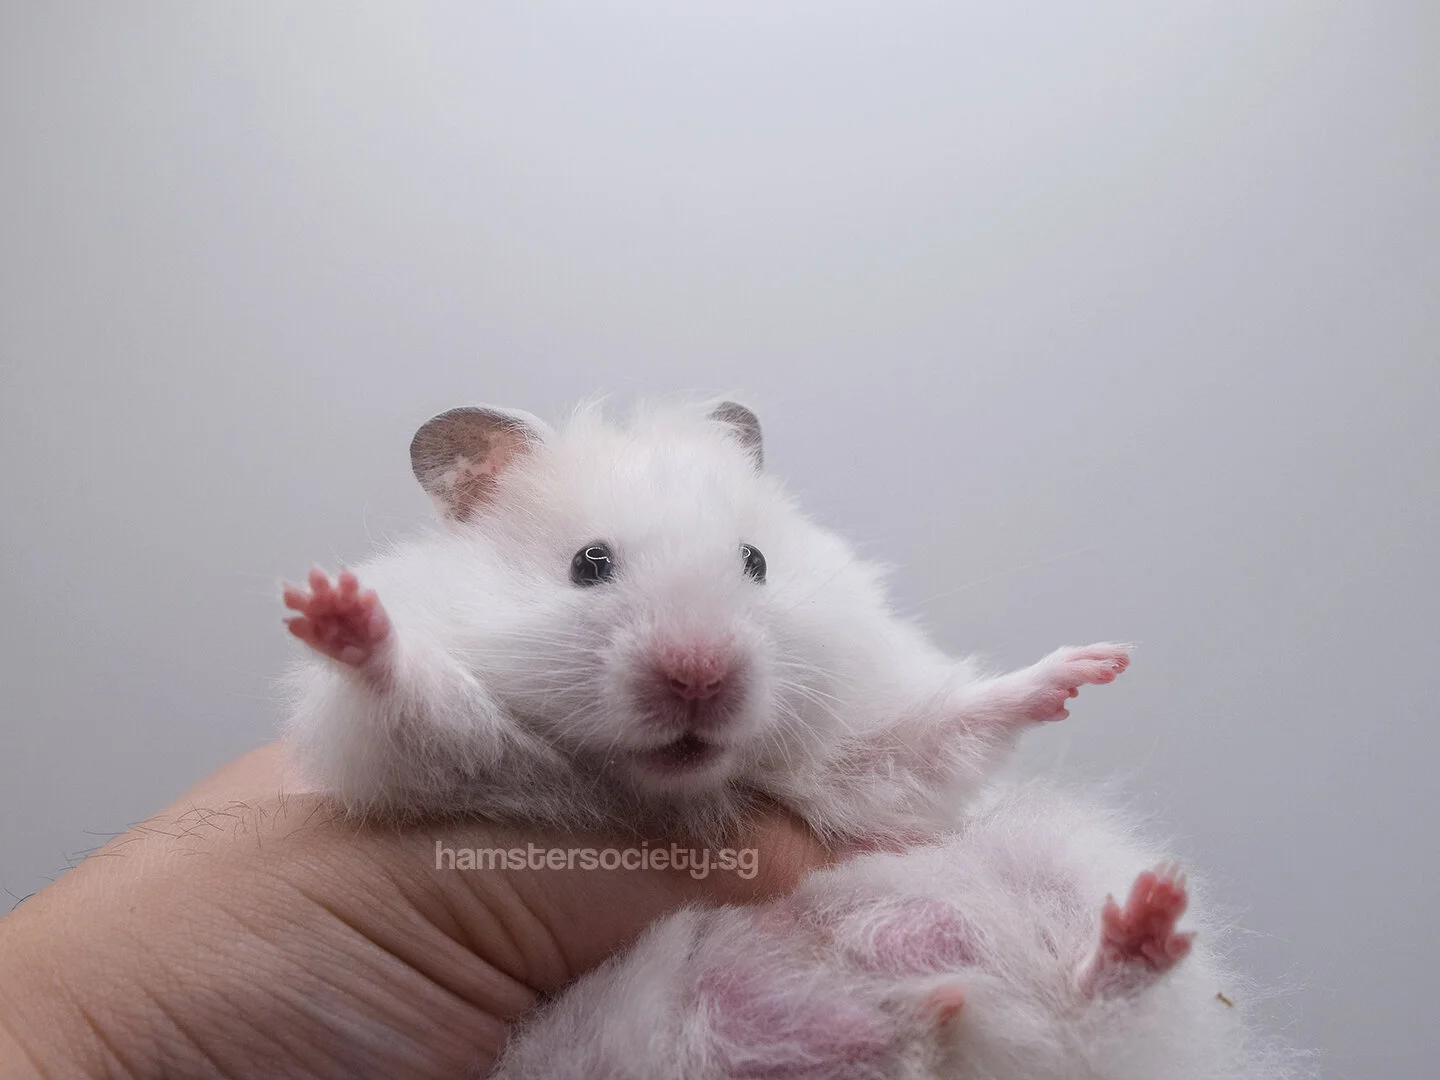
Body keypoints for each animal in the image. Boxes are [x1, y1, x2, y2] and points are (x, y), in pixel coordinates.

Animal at [280, 397, 1130, 844]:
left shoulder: (865, 762)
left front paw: (1097, 665)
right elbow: (411, 695)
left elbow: (951, 726)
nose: (700, 675)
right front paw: (334, 610)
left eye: (756, 561)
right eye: (588, 563)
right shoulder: (434, 762)